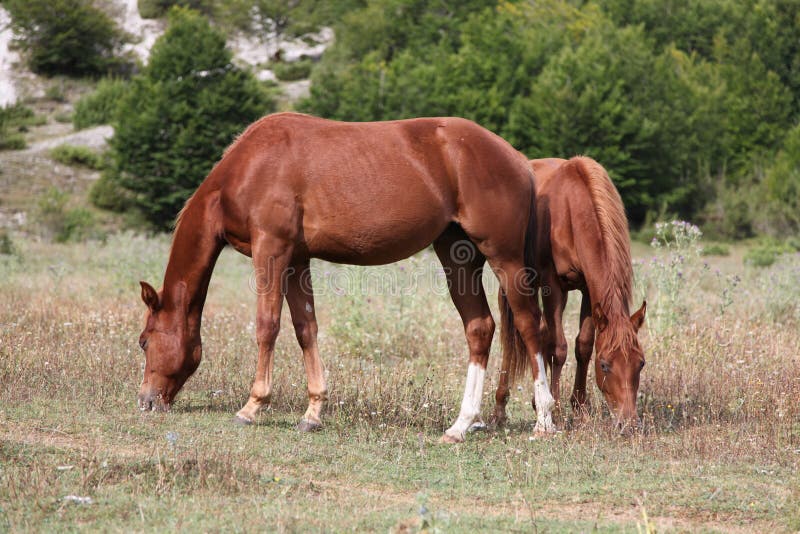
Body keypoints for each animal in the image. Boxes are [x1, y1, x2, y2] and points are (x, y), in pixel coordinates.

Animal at [136, 112, 555, 443]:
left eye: (143, 342)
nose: (146, 401)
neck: (251, 167)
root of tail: (518, 159)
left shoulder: (271, 249)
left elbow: (267, 325)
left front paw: (252, 406)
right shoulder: (297, 258)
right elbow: (305, 327)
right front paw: (312, 413)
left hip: (504, 259)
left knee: (530, 326)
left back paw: (544, 421)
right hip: (458, 256)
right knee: (480, 328)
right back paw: (460, 426)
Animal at [490, 157, 646, 431]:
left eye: (641, 363)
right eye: (605, 365)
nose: (628, 423)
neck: (574, 211)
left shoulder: (588, 290)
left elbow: (583, 345)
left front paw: (580, 408)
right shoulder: (553, 286)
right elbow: (558, 348)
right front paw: (558, 412)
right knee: (514, 338)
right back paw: (500, 408)